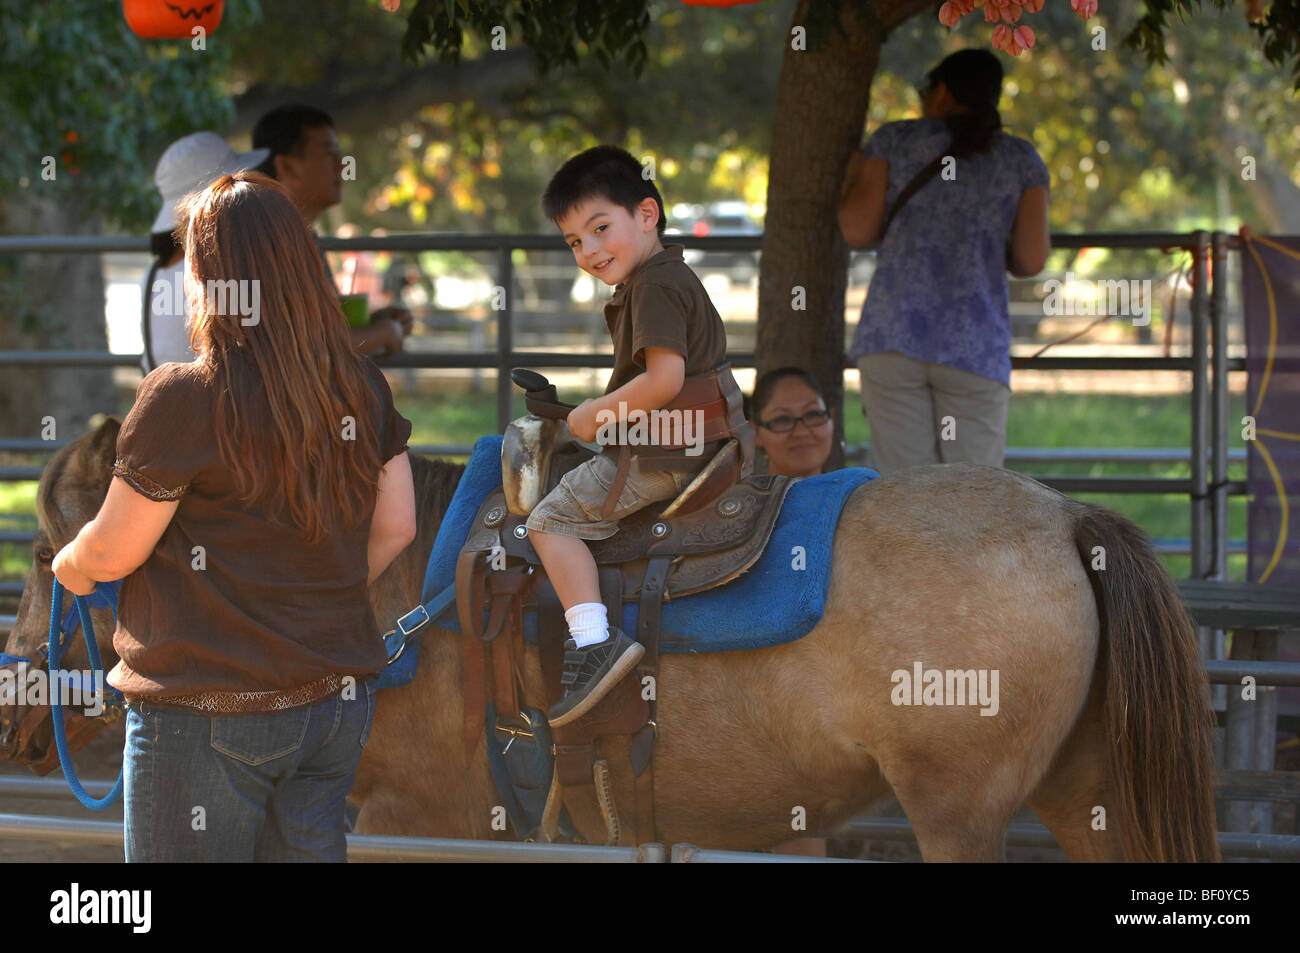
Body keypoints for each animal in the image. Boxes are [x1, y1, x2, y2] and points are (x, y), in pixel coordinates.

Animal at [0, 418, 1221, 861]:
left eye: (52, 553)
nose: (18, 711)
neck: (401, 598)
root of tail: (1071, 521)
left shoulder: (420, 819)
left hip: (958, 812)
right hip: (1089, 795)